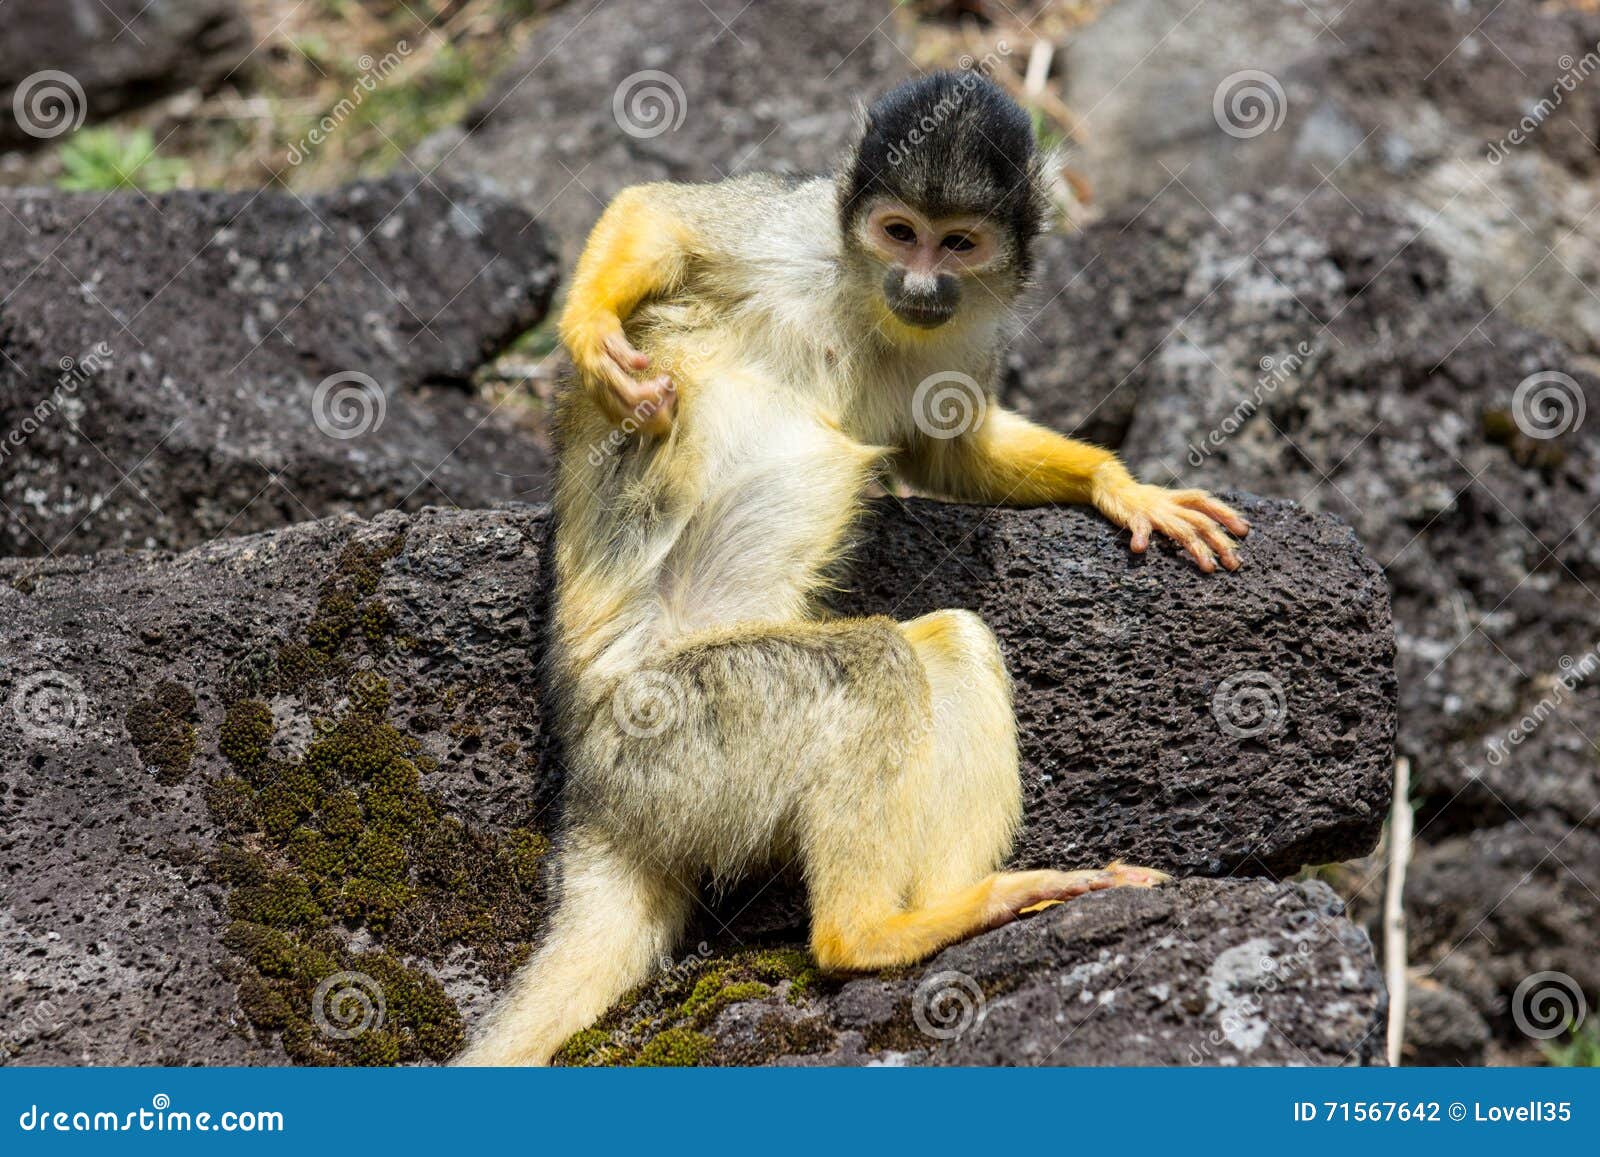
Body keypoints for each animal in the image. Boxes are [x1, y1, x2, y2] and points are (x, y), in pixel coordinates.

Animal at [457, 71, 1248, 1066]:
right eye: (897, 232)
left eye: (958, 243)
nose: (921, 280)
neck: (868, 300)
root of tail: (590, 796)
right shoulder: (800, 230)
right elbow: (661, 211)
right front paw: (590, 329)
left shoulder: (961, 330)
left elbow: (953, 453)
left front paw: (1124, 485)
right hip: (666, 730)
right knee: (869, 664)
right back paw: (866, 936)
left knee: (950, 638)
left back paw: (958, 902)